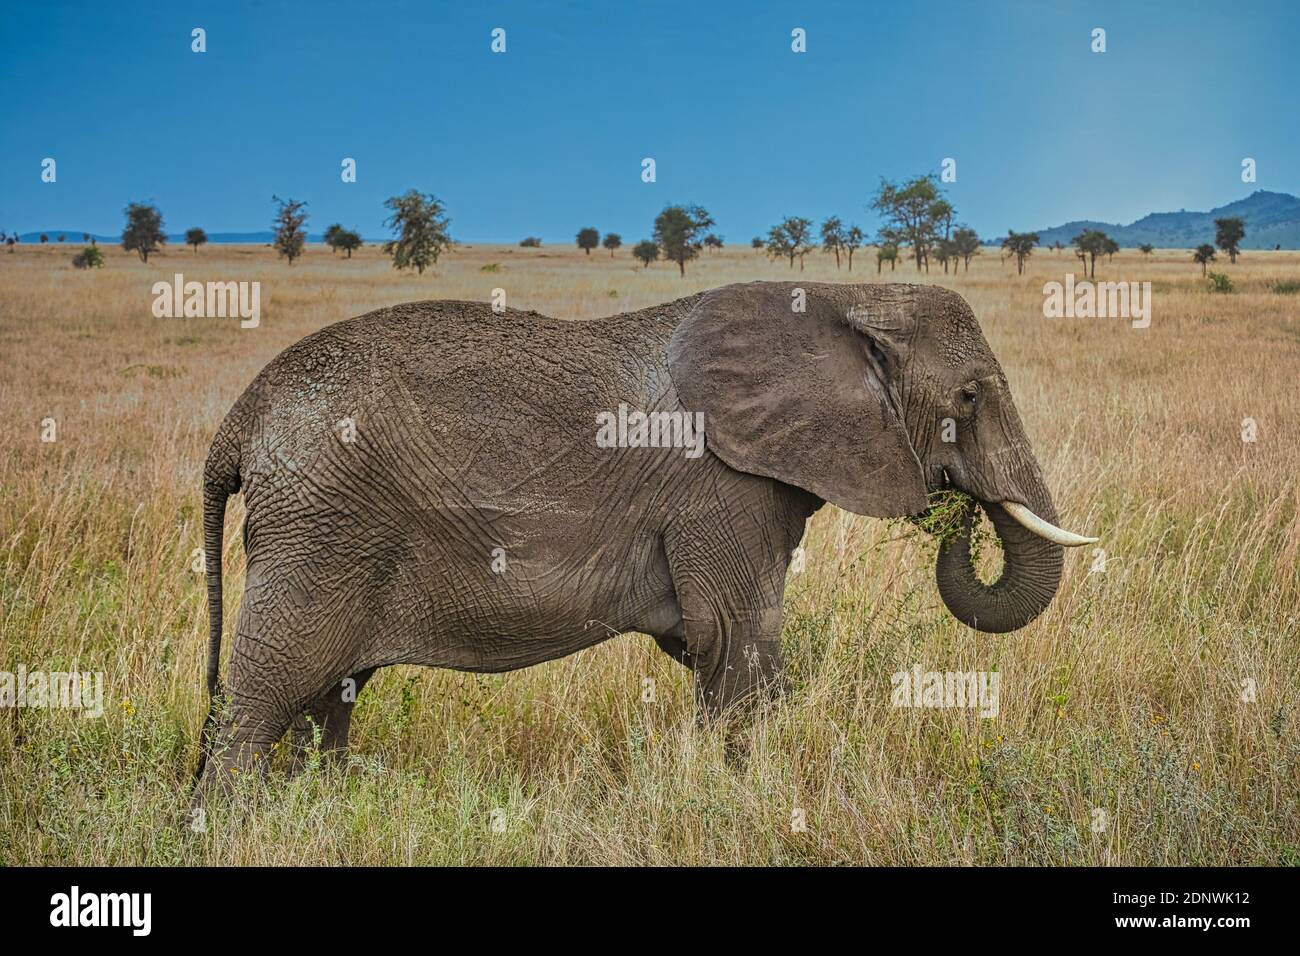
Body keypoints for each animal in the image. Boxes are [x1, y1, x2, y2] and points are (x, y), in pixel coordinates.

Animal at [192, 280, 1095, 801]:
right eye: (971, 397)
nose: (954, 506)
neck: (848, 295)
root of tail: (237, 422)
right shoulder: (722, 489)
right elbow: (736, 643)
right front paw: (749, 803)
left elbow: (713, 649)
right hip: (320, 526)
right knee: (265, 696)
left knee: (326, 701)